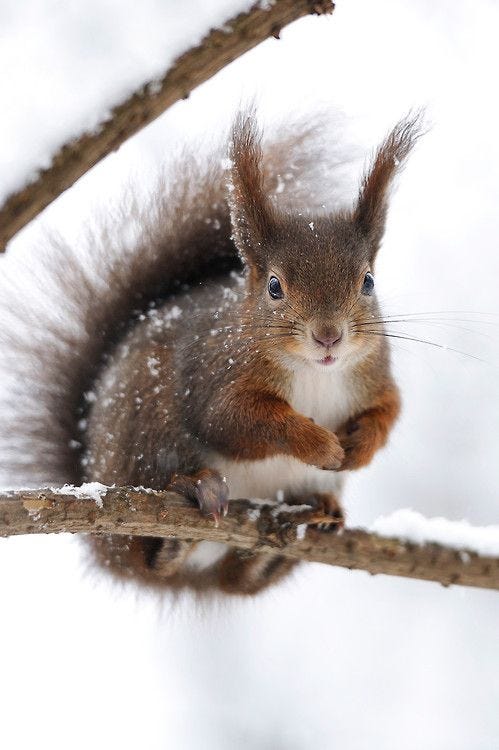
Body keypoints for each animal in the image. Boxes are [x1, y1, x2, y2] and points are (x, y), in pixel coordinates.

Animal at [0, 110, 420, 595]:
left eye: (368, 281)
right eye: (274, 286)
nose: (329, 336)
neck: (317, 371)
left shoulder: (373, 374)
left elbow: (389, 410)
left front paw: (360, 447)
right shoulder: (218, 373)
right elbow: (235, 421)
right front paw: (318, 443)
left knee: (238, 580)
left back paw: (302, 524)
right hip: (146, 428)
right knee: (149, 553)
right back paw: (189, 501)